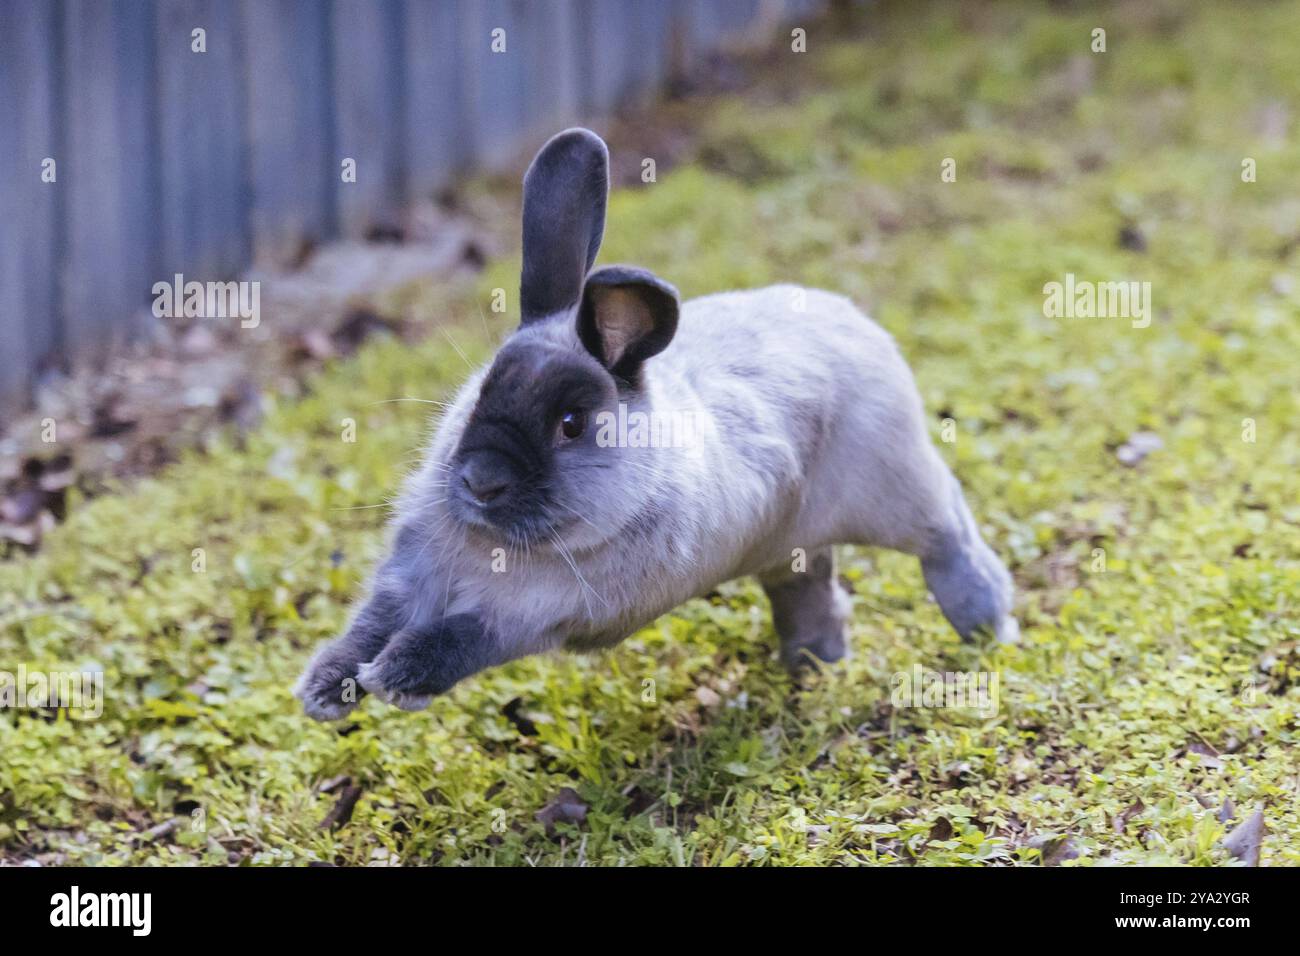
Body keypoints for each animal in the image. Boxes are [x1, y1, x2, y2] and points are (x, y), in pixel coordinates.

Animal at [295, 127, 1017, 721]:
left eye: (571, 423)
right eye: (478, 394)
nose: (479, 480)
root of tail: (850, 319)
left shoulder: (533, 618)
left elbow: (457, 639)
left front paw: (394, 678)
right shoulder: (408, 581)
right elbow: (366, 626)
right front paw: (325, 690)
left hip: (900, 493)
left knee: (950, 537)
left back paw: (988, 627)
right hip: (786, 541)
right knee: (809, 586)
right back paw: (813, 662)